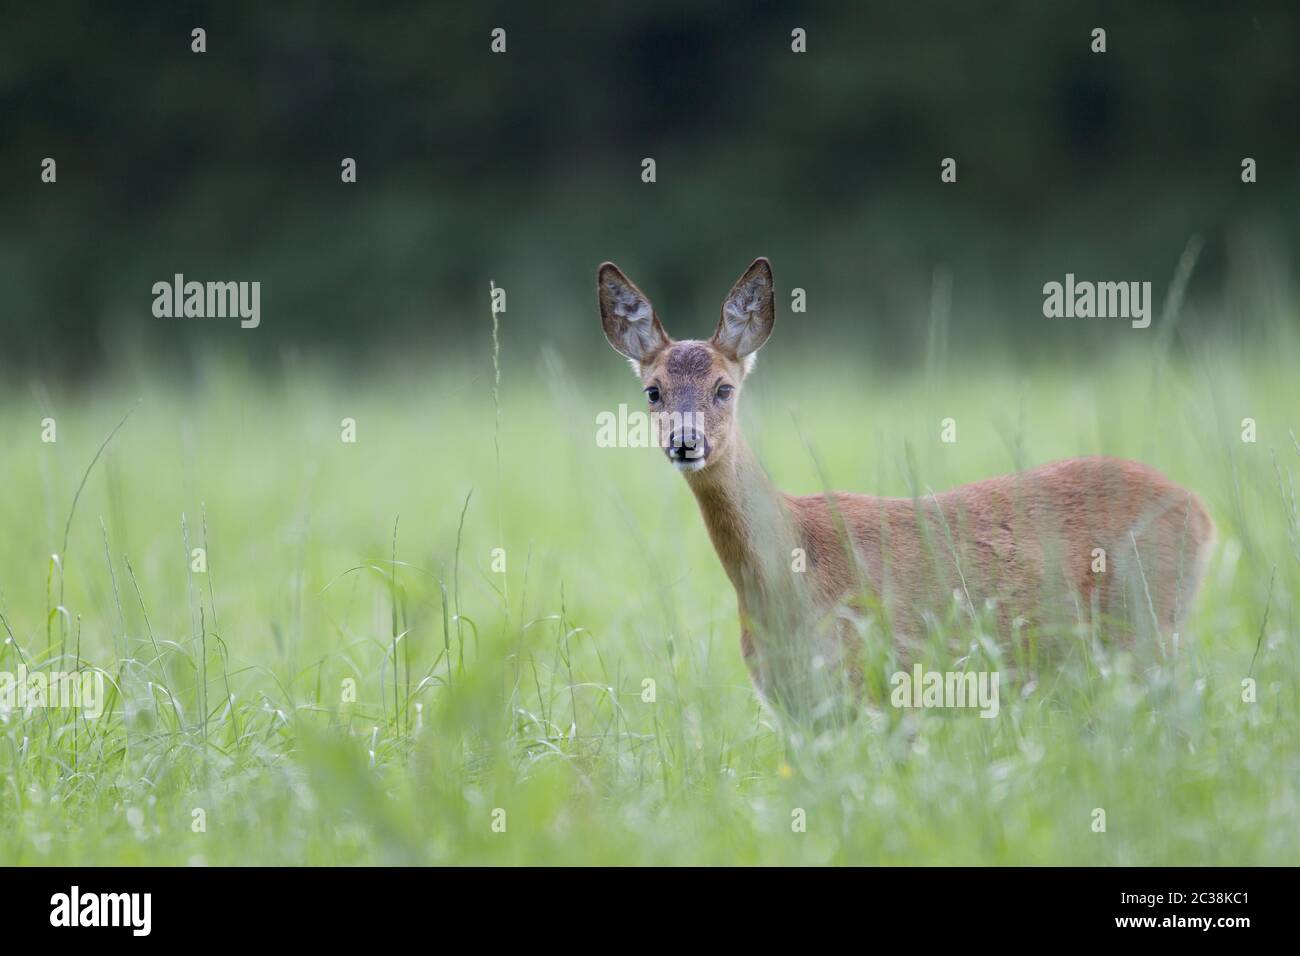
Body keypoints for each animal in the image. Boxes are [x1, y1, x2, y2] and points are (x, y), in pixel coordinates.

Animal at [598, 257, 1216, 720]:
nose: (685, 441)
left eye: (724, 388)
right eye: (653, 390)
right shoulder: (795, 711)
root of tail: (1202, 512)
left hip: (1149, 624)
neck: (789, 576)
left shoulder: (888, 680)